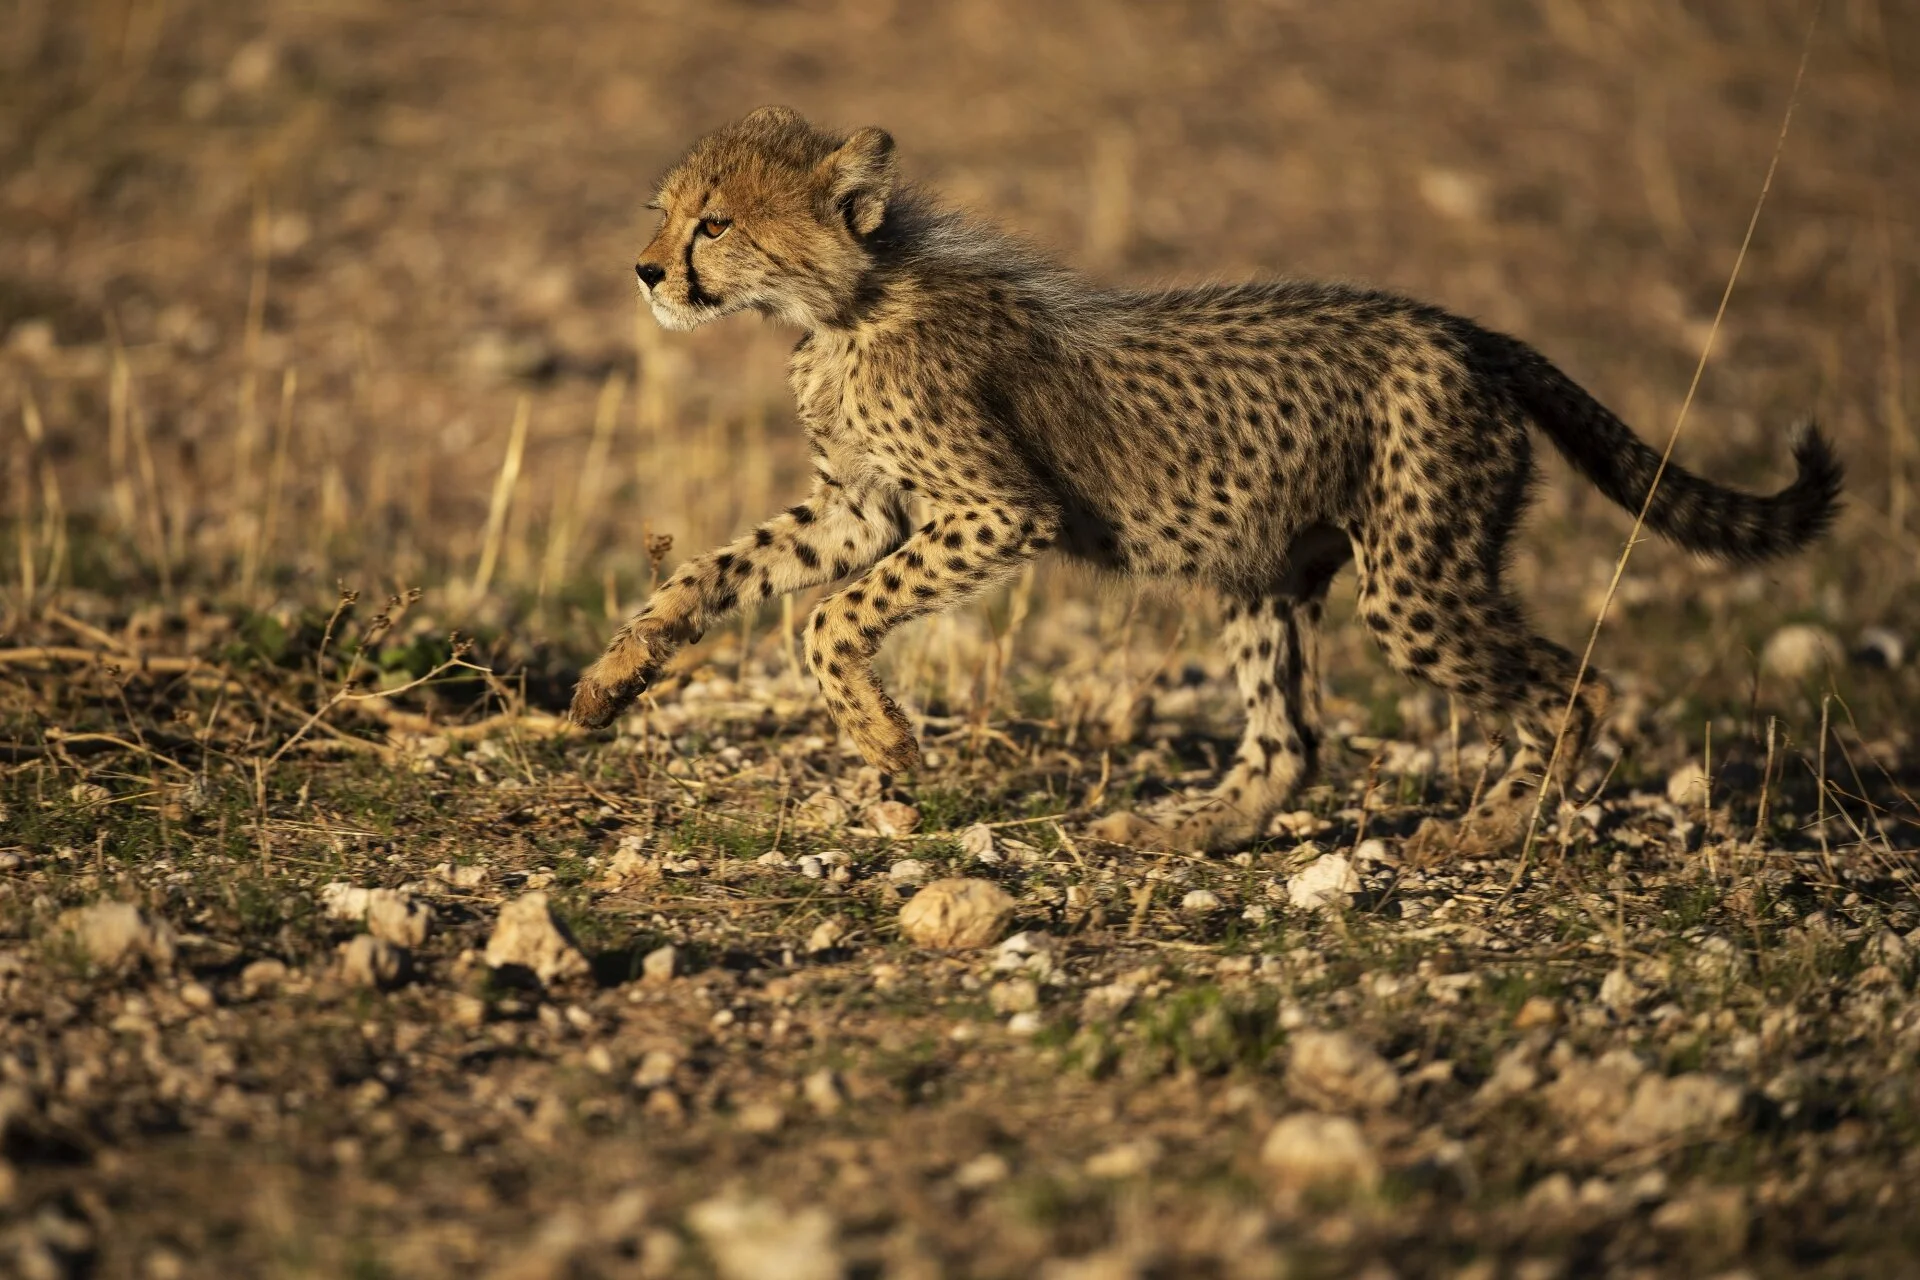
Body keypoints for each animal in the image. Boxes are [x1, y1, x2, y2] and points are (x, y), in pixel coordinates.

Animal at [568, 106, 1842, 852]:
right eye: (672, 217)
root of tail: (1465, 328)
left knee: (1576, 685)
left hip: (1413, 578)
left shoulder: (998, 510)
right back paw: (1191, 831)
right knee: (1291, 741)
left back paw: (1494, 830)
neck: (846, 304)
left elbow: (830, 618)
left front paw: (885, 741)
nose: (645, 273)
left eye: (716, 225)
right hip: (1268, 570)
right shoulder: (857, 507)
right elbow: (729, 570)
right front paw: (614, 677)